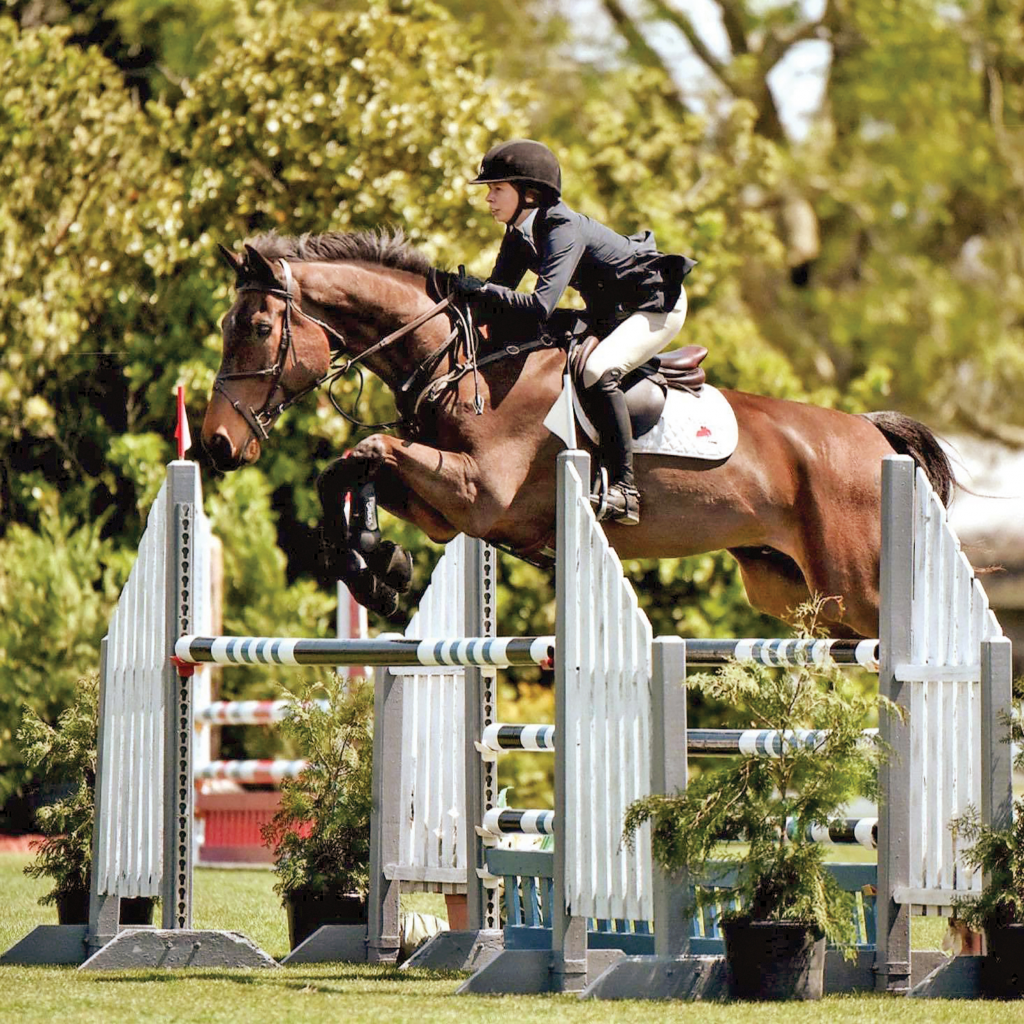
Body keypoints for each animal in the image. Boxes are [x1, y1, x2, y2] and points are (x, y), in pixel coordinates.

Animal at [203, 230, 954, 638]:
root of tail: (873, 438)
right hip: (796, 593)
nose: (215, 444)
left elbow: (367, 451)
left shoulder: (482, 494)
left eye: (259, 329)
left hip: (857, 587)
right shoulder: (449, 510)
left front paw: (373, 560)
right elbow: (347, 469)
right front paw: (376, 565)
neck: (465, 363)